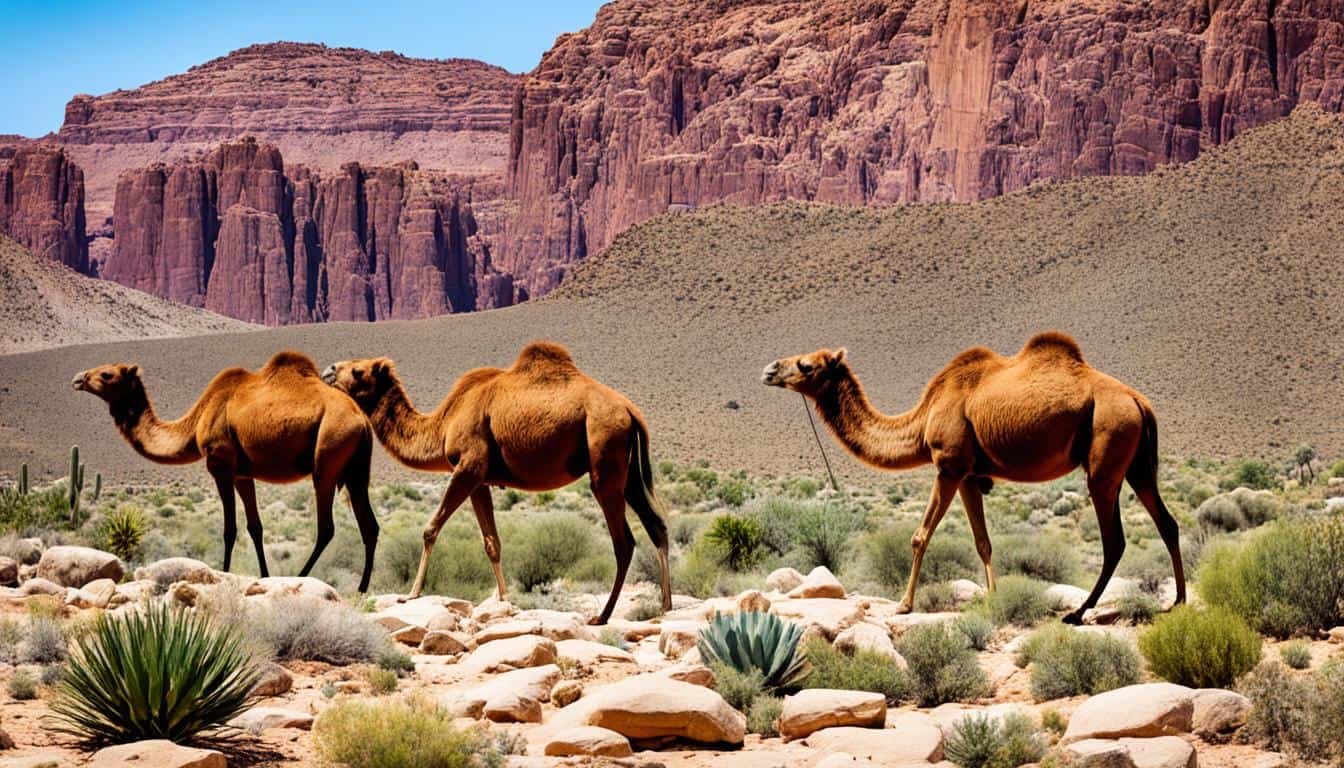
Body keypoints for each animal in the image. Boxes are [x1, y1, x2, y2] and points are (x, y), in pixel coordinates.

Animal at [73, 351, 380, 591]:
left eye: (107, 374)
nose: (77, 378)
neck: (198, 420)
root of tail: (362, 419)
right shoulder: (243, 474)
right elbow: (255, 527)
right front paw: (264, 576)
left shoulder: (219, 464)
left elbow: (229, 529)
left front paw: (225, 572)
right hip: (357, 469)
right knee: (370, 525)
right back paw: (362, 588)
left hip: (328, 454)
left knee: (326, 527)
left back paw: (302, 576)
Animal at [321, 341, 671, 624]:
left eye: (358, 371)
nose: (328, 370)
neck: (444, 423)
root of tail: (630, 410)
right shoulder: (481, 480)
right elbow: (492, 543)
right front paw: (504, 600)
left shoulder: (468, 466)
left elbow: (430, 529)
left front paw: (412, 593)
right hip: (628, 470)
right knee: (657, 526)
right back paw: (665, 606)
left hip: (604, 454)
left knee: (623, 541)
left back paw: (603, 615)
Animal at [762, 332, 1185, 624]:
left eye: (806, 365)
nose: (769, 369)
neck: (922, 420)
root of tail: (1140, 402)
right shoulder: (969, 475)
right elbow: (983, 542)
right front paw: (994, 597)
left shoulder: (948, 466)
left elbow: (920, 536)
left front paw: (904, 604)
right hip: (1138, 464)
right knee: (1167, 522)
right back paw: (1178, 602)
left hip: (1105, 454)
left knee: (1114, 540)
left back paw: (1079, 612)